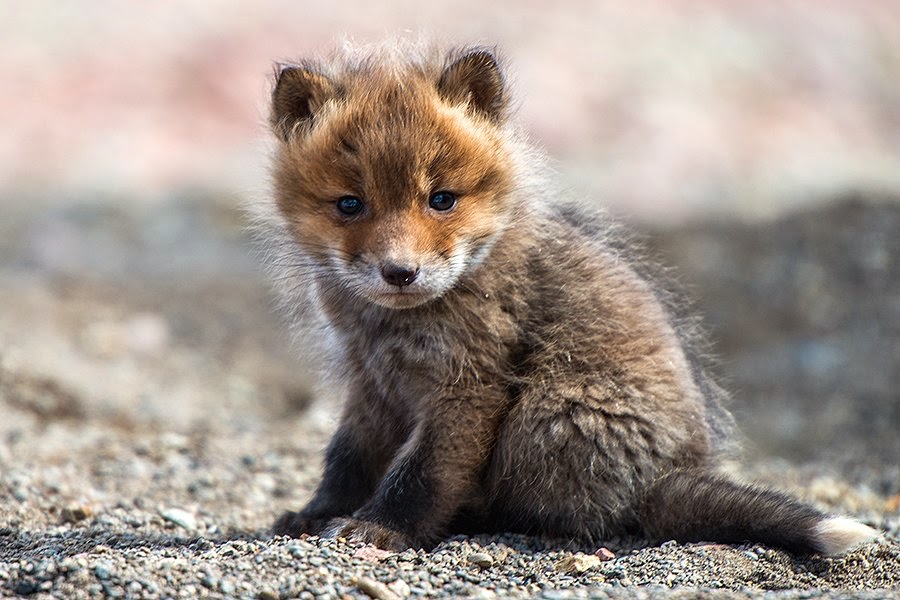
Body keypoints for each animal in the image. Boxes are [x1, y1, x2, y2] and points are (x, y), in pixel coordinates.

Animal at [256, 41, 879, 554]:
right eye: (349, 204)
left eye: (441, 199)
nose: (400, 273)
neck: (388, 327)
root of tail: (671, 475)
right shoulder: (369, 382)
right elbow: (347, 459)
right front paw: (317, 515)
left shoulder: (468, 386)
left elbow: (422, 474)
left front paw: (381, 529)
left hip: (545, 414)